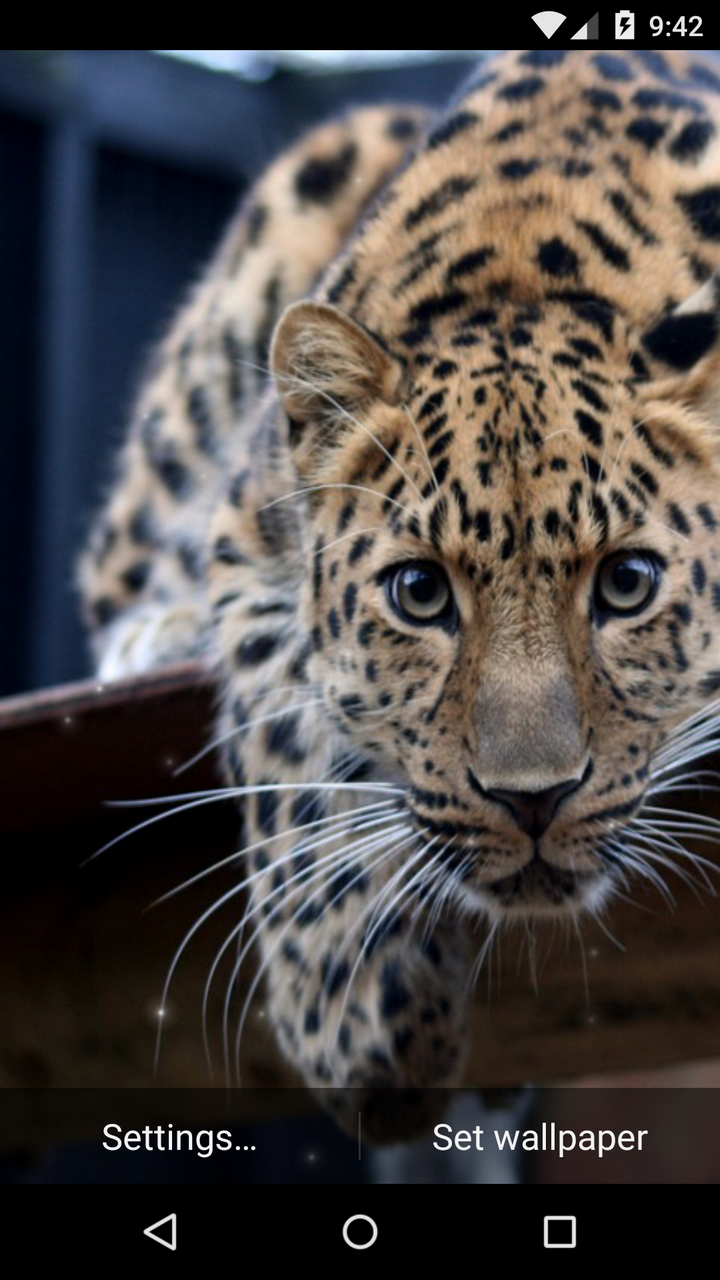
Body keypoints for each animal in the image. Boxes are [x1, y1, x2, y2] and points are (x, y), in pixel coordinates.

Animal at [77, 48, 720, 1143]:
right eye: (419, 593)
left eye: (626, 583)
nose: (532, 799)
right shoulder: (244, 536)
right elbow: (286, 741)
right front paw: (357, 1026)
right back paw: (151, 630)